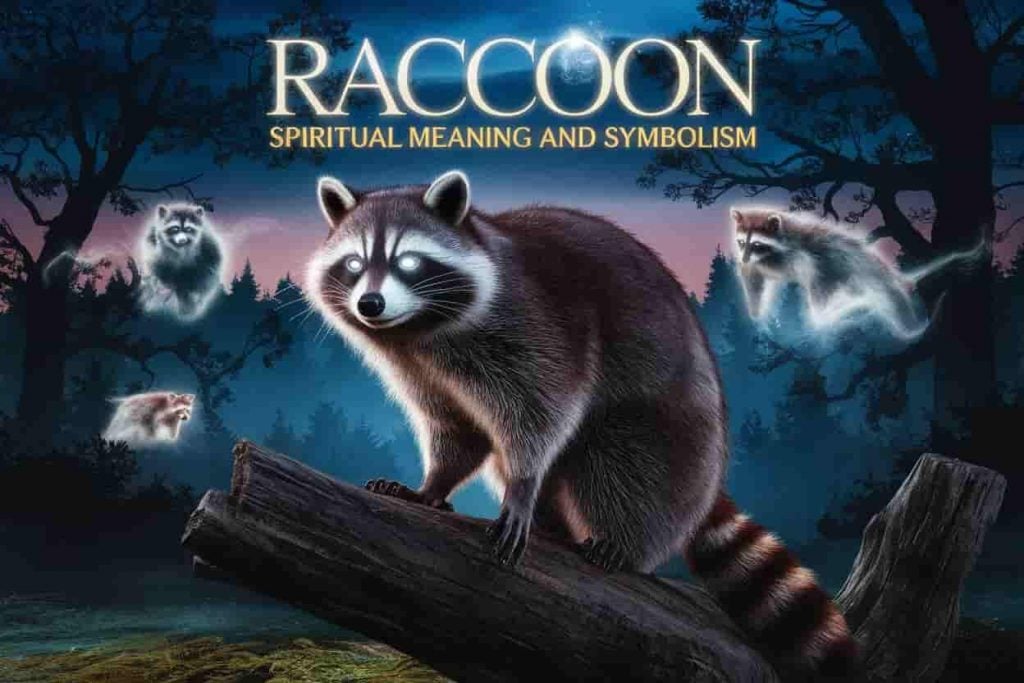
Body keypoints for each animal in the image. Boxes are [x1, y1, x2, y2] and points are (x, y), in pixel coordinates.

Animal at [306, 171, 857, 675]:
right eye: (354, 264)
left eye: (409, 262)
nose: (370, 304)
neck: (420, 329)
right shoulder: (420, 368)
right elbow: (456, 429)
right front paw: (431, 486)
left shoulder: (540, 325)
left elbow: (546, 412)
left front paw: (522, 487)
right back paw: (555, 527)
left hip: (671, 427)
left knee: (624, 464)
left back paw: (621, 542)